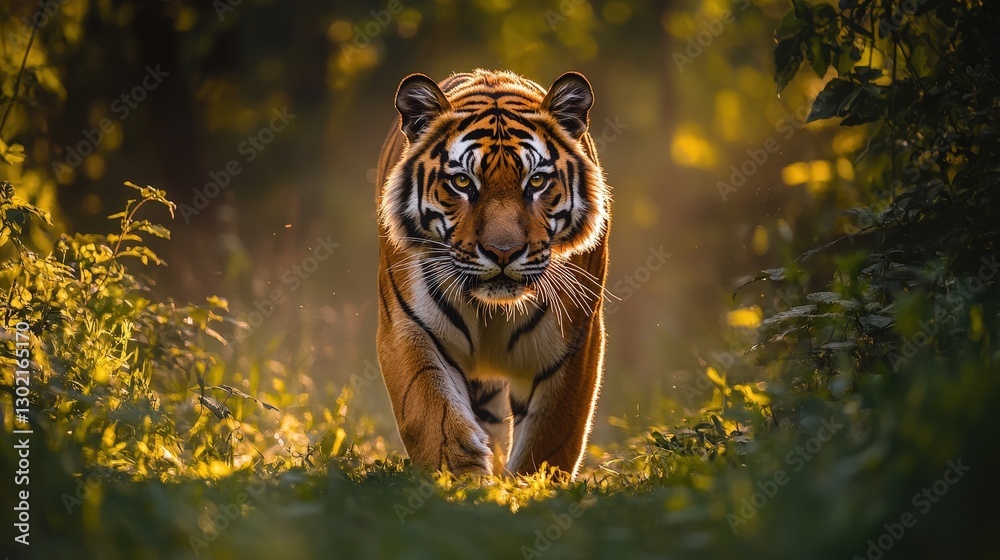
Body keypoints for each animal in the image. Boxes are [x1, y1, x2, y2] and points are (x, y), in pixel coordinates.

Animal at [375, 69, 612, 479]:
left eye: (536, 182)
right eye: (463, 183)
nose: (503, 252)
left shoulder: (574, 342)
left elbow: (551, 439)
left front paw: (532, 486)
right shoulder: (408, 326)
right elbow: (432, 413)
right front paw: (457, 478)